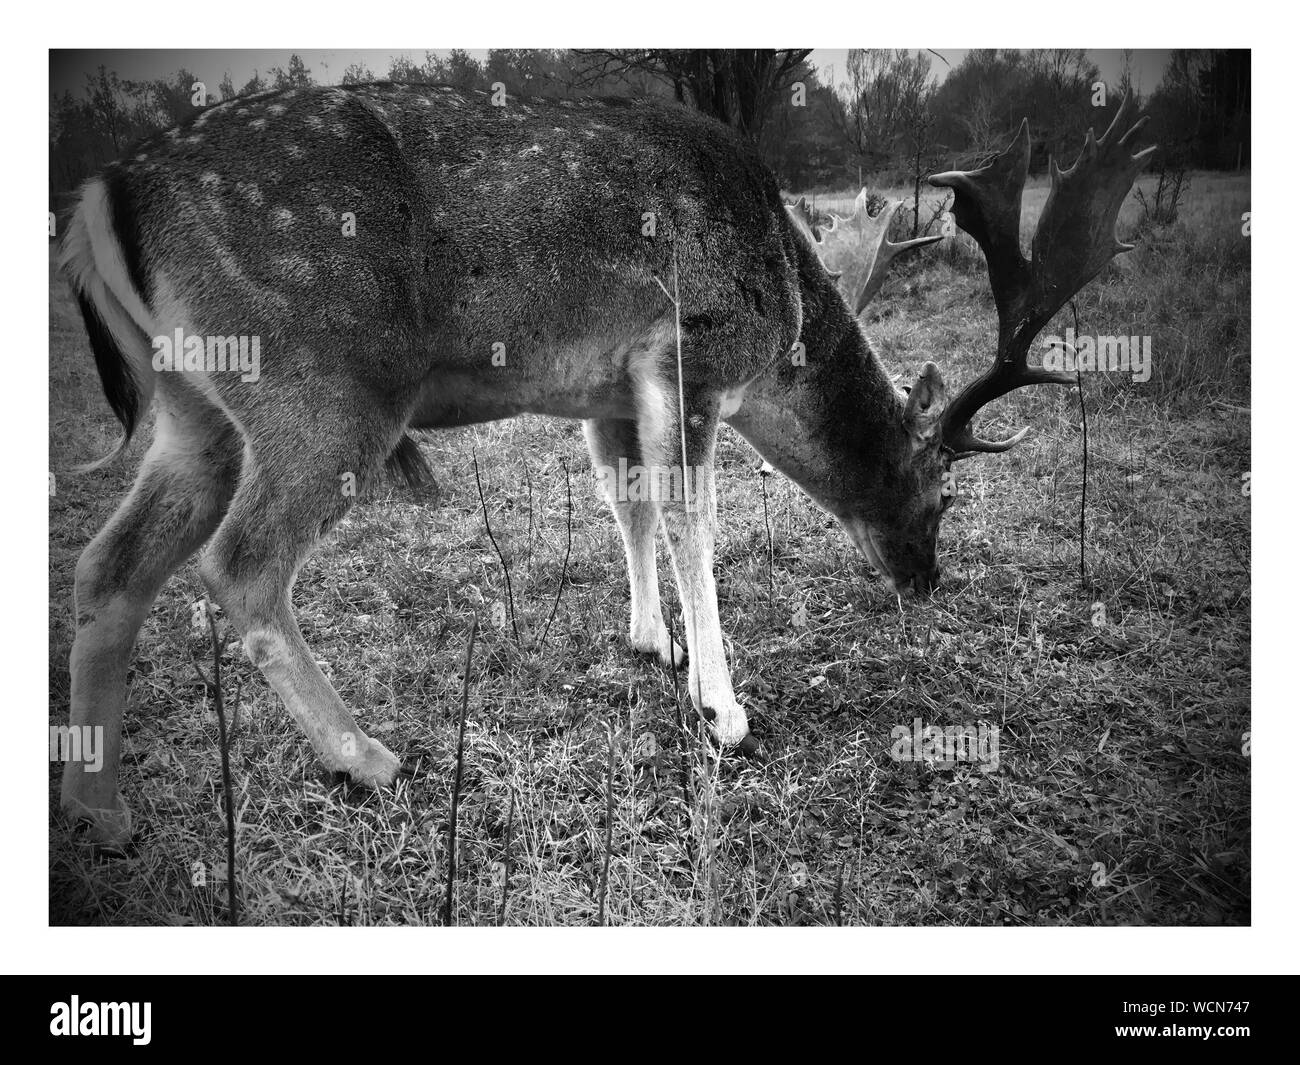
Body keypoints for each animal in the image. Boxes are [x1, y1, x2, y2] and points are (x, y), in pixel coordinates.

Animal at [57, 81, 1152, 849]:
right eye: (938, 493)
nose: (926, 580)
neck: (782, 303)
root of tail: (104, 193)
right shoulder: (692, 350)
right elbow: (692, 522)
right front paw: (722, 707)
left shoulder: (610, 392)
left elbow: (628, 507)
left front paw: (650, 643)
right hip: (323, 386)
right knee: (240, 564)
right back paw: (366, 756)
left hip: (194, 410)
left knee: (108, 566)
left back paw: (101, 814)